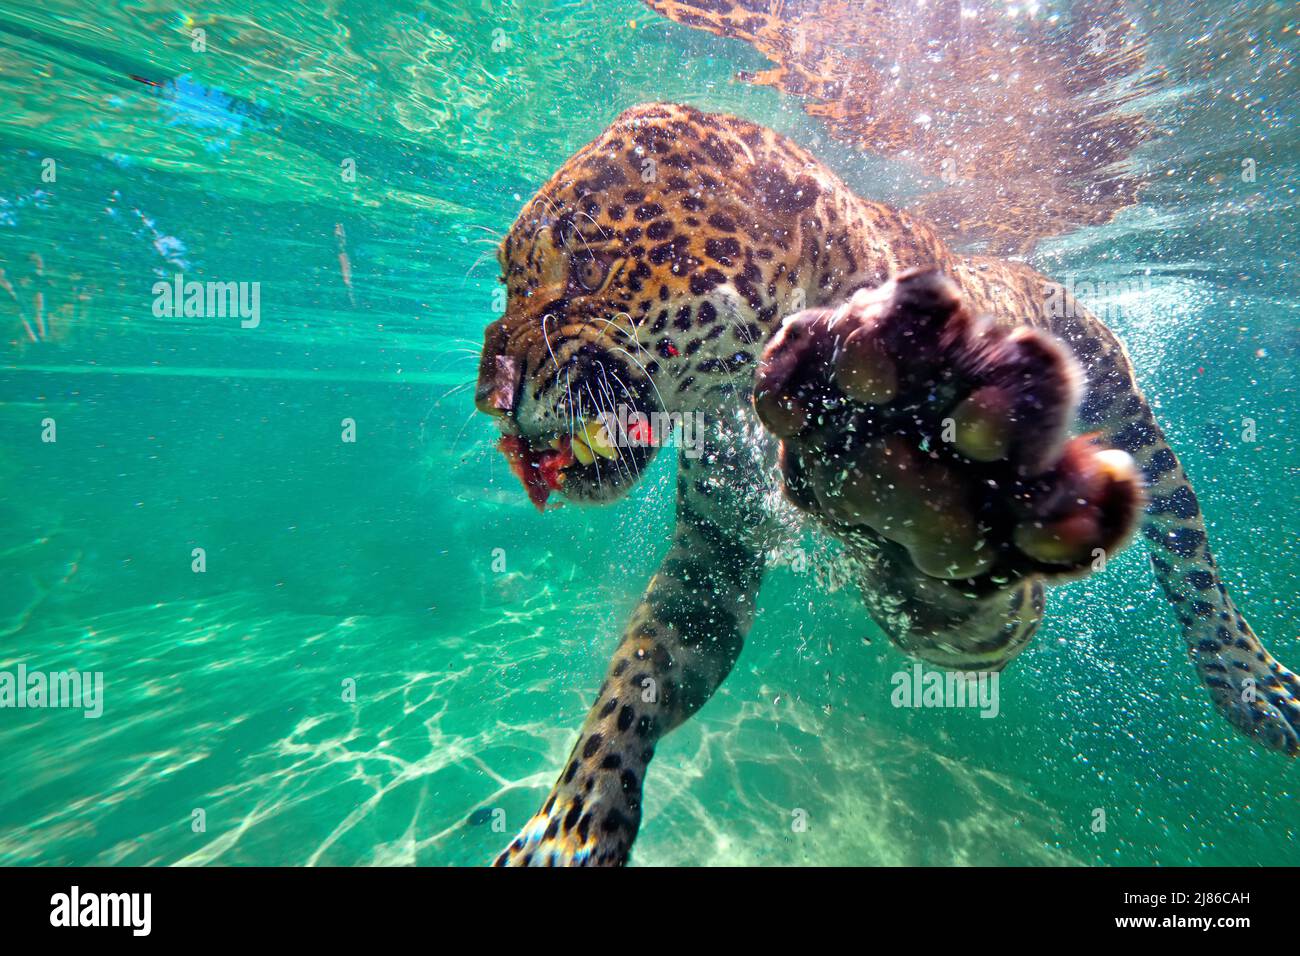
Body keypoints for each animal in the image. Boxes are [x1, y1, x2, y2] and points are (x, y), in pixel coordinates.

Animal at [473, 102, 1300, 867]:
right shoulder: (714, 552)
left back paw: (1253, 685)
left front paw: (920, 503)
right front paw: (567, 828)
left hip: (1122, 399)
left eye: (587, 267)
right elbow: (636, 679)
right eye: (509, 281)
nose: (490, 396)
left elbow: (959, 599)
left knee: (1185, 543)